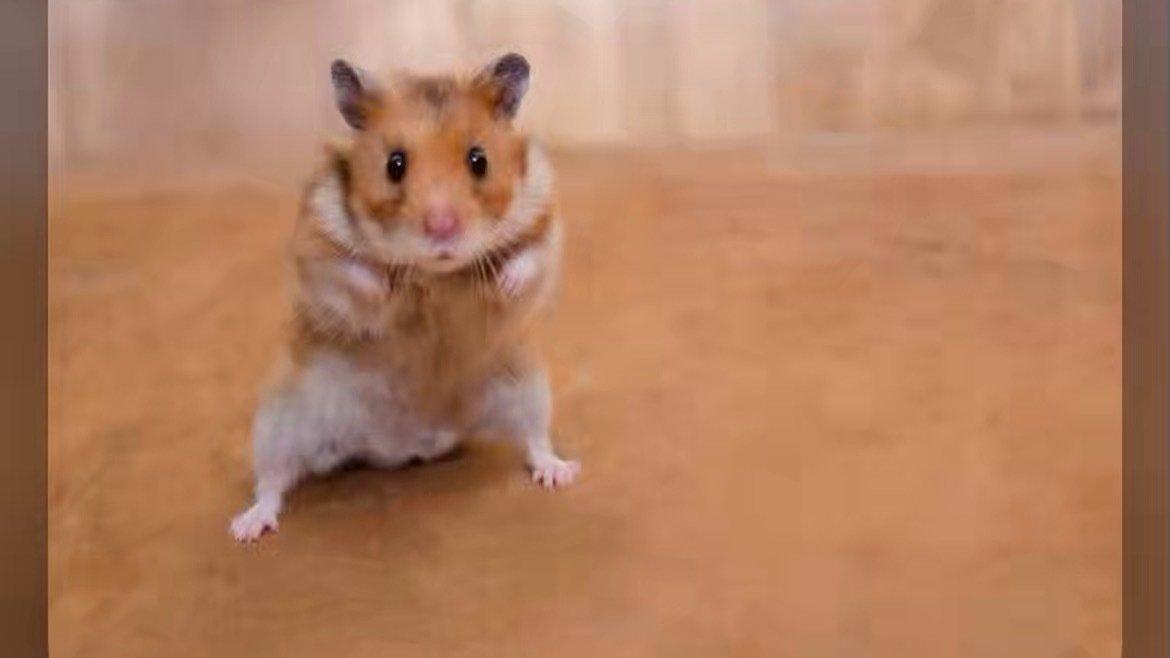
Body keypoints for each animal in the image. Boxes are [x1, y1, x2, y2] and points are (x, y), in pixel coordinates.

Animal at [230, 53, 579, 542]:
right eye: (394, 164)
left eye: (479, 160)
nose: (442, 228)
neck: (435, 273)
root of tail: (409, 446)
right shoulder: (315, 242)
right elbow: (352, 272)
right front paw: (390, 289)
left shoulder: (545, 215)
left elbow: (530, 257)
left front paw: (501, 285)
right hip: (281, 420)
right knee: (273, 479)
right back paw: (247, 527)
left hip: (525, 389)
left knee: (535, 441)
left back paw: (559, 473)